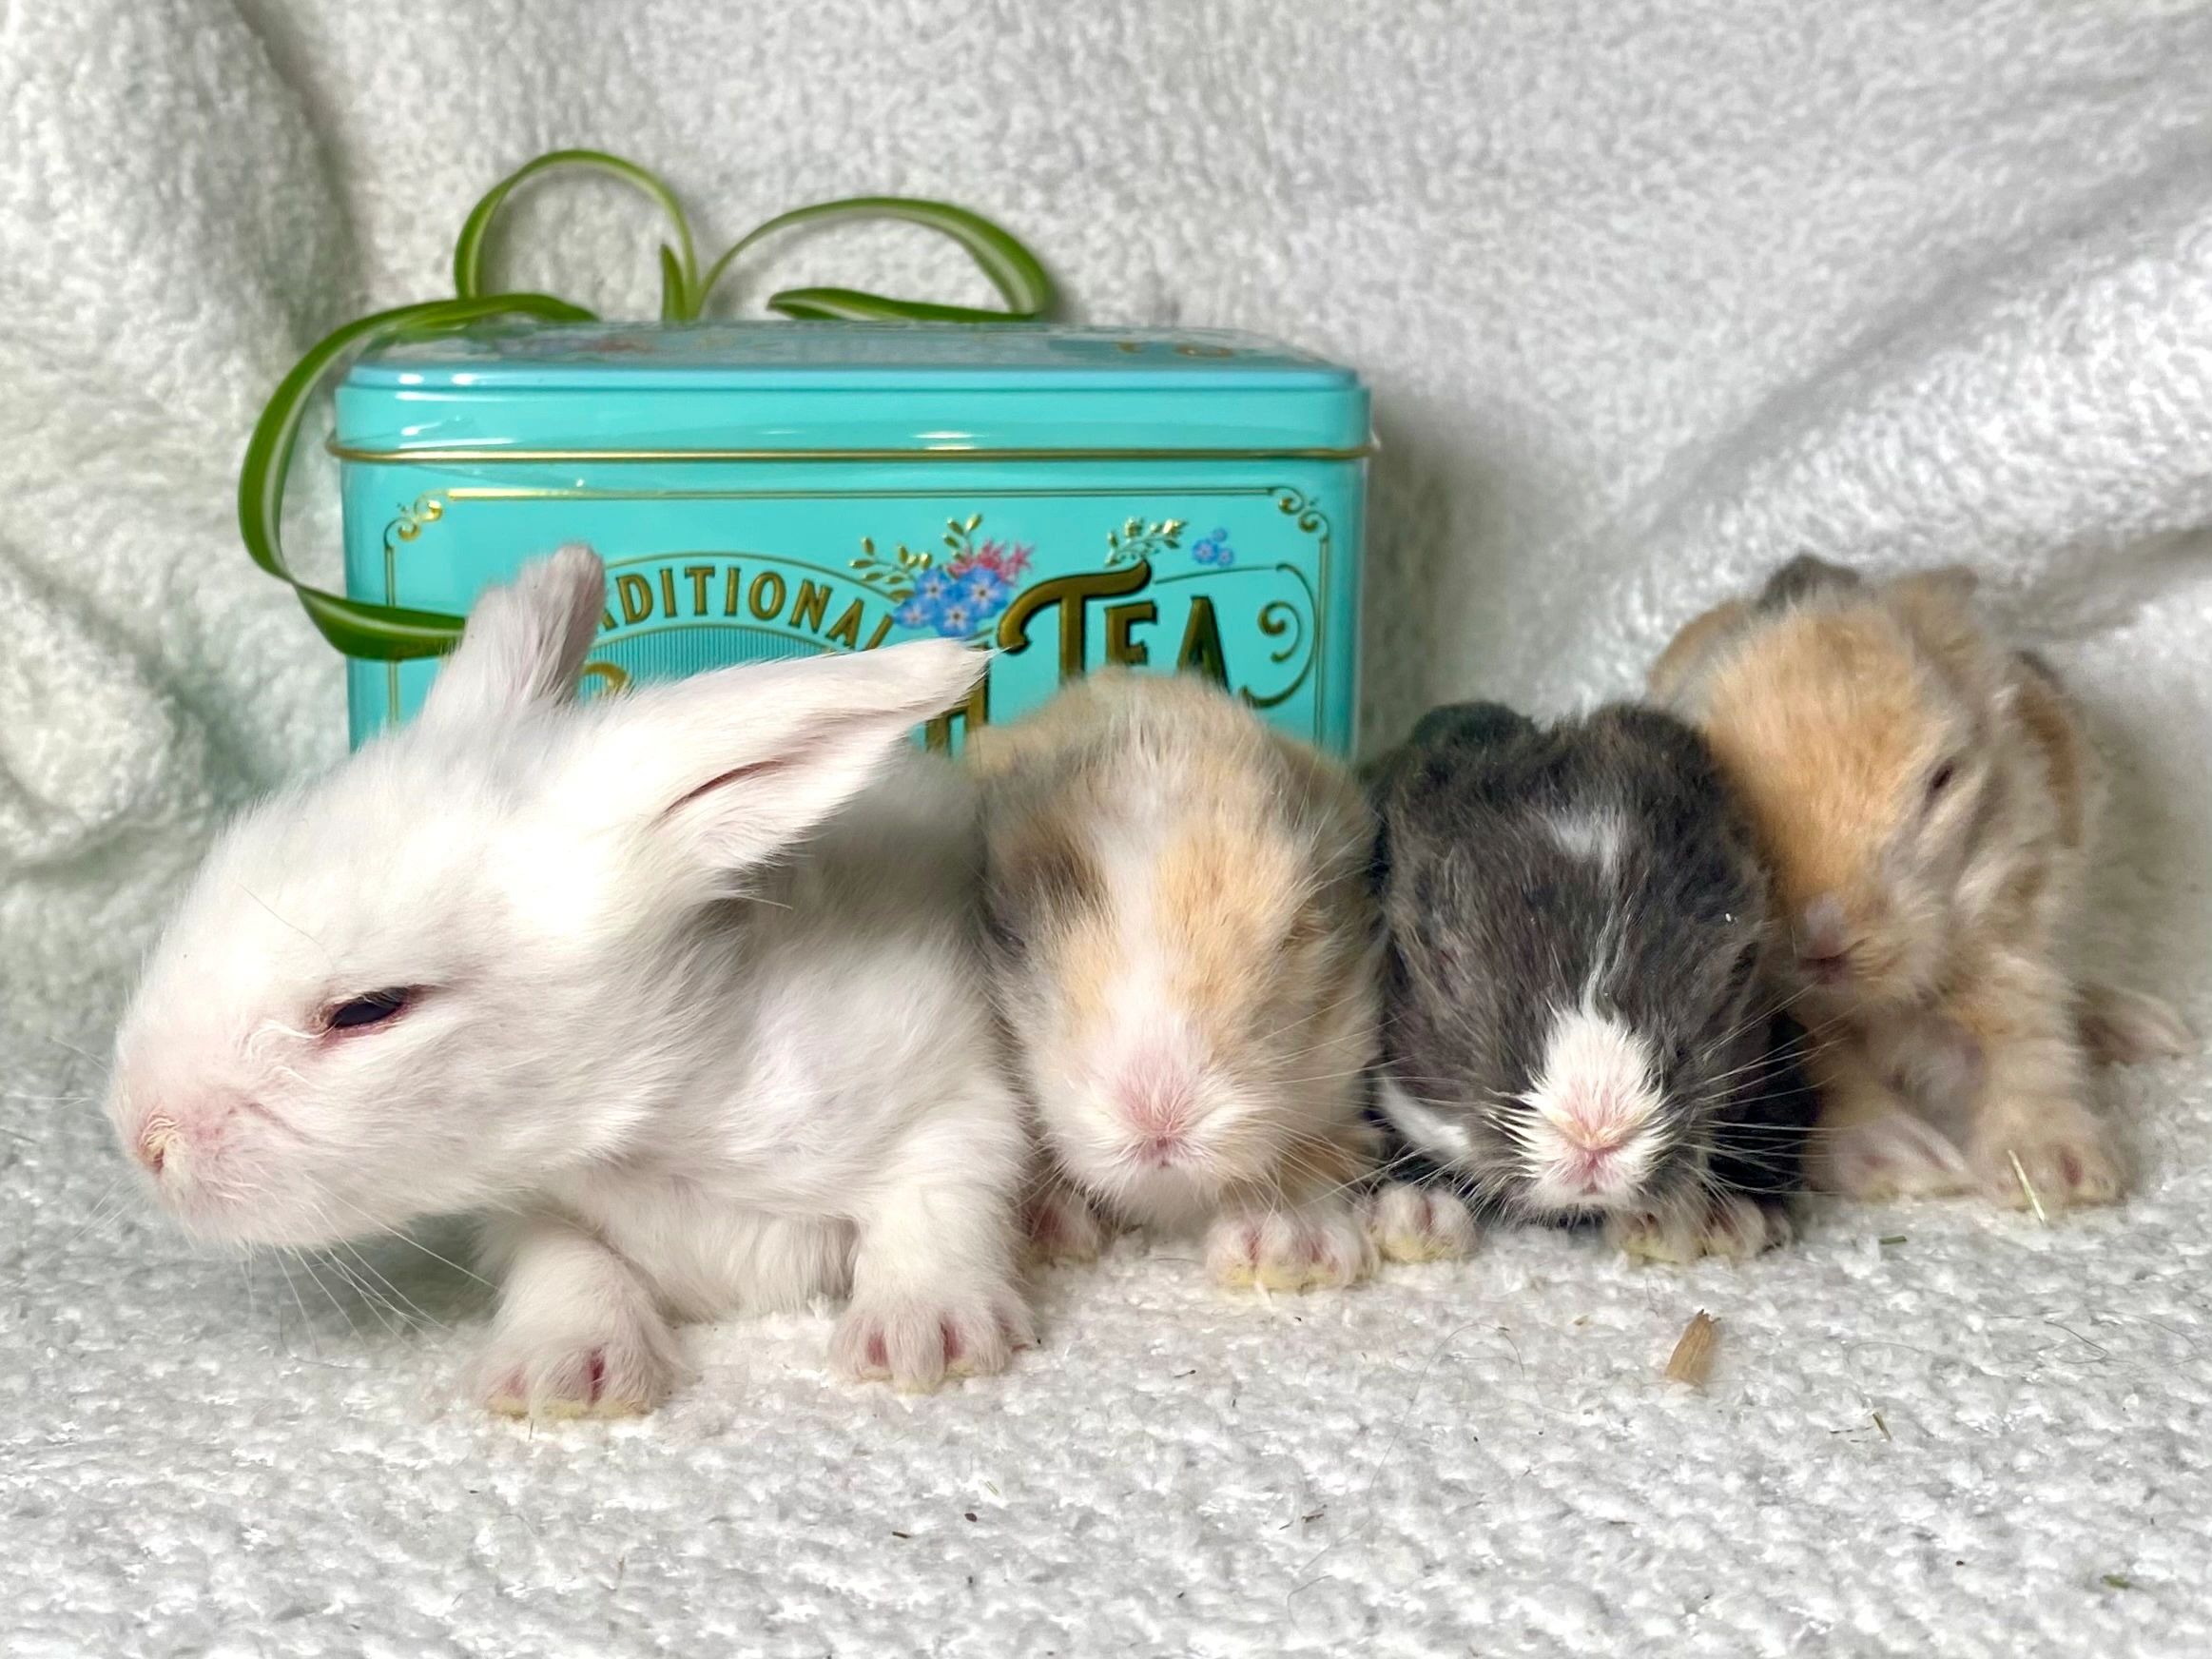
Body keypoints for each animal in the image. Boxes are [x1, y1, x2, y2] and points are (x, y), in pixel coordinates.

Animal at [104, 546, 1034, 1415]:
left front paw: (922, 1339)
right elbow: (566, 1262)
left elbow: (941, 1198)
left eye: (369, 1009)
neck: (656, 1127)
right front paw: (565, 1374)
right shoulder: (534, 1207)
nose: (146, 1143)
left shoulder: (952, 1088)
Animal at [1649, 554, 2194, 1212]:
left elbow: (2026, 1050)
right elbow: (1833, 1075)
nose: (1822, 940)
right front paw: (1908, 1162)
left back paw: (2147, 1028)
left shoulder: (2010, 956)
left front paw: (2058, 1172)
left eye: (1943, 780)